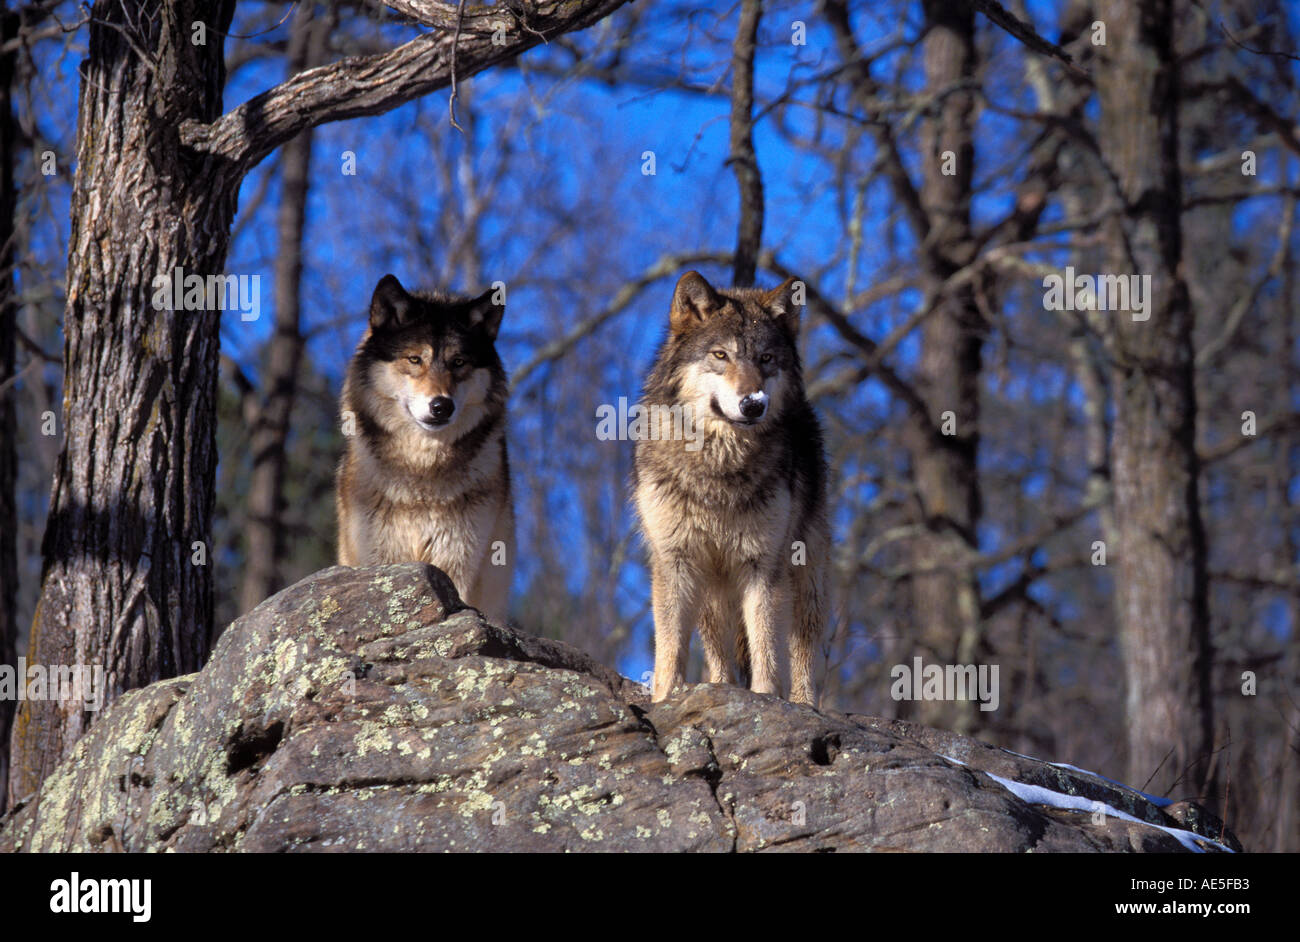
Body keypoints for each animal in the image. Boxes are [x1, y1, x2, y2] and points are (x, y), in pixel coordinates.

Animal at [336, 274, 514, 626]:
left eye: (458, 363)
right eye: (415, 359)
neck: (422, 472)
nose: (441, 406)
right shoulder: (380, 556)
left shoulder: (459, 557)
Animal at [632, 270, 830, 706]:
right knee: (718, 648)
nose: (753, 403)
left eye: (766, 359)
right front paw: (663, 700)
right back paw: (719, 687)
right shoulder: (676, 560)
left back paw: (805, 703)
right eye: (721, 356)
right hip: (711, 585)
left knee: (803, 646)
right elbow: (670, 649)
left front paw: (767, 699)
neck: (720, 465)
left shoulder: (762, 564)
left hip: (804, 571)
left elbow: (766, 647)